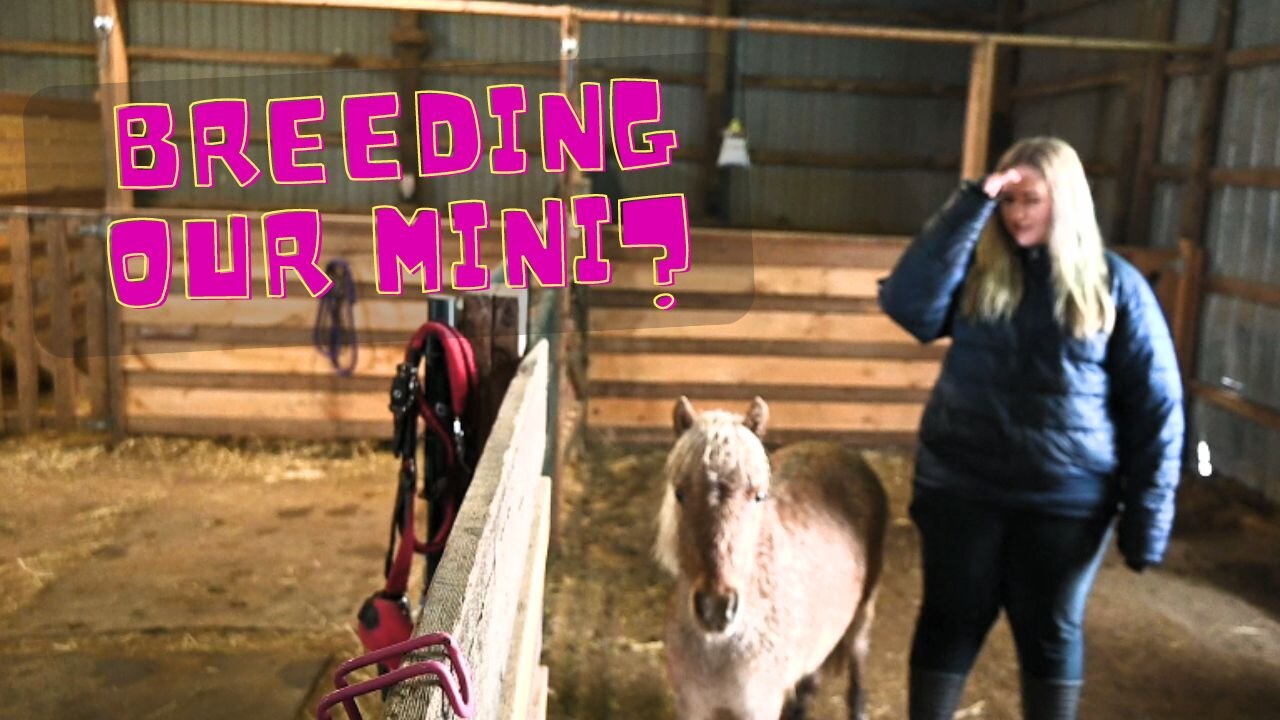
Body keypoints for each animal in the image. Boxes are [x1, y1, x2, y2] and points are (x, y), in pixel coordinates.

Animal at [654, 396, 888, 720]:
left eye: (758, 496)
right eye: (680, 493)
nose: (715, 608)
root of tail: (840, 450)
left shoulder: (759, 709)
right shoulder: (692, 707)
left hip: (863, 614)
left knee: (857, 657)